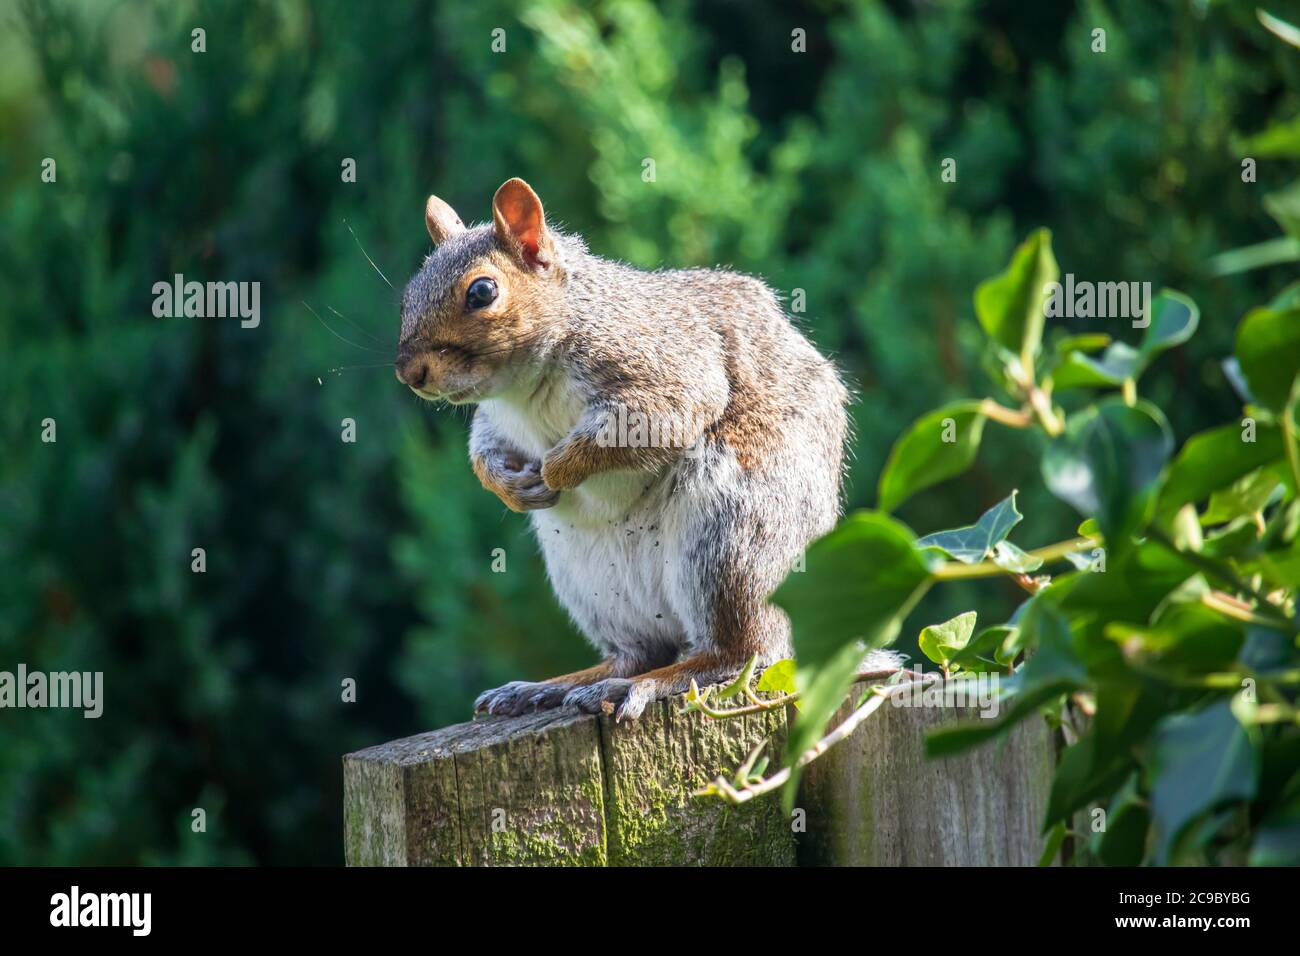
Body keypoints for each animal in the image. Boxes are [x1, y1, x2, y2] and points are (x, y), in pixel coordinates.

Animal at [397, 177, 867, 721]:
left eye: (482, 291)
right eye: (408, 293)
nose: (409, 372)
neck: (524, 389)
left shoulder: (662, 366)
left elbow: (661, 415)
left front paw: (557, 469)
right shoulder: (497, 420)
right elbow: (483, 449)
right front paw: (510, 485)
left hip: (732, 542)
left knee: (740, 655)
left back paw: (643, 685)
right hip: (589, 581)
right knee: (637, 652)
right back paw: (553, 686)